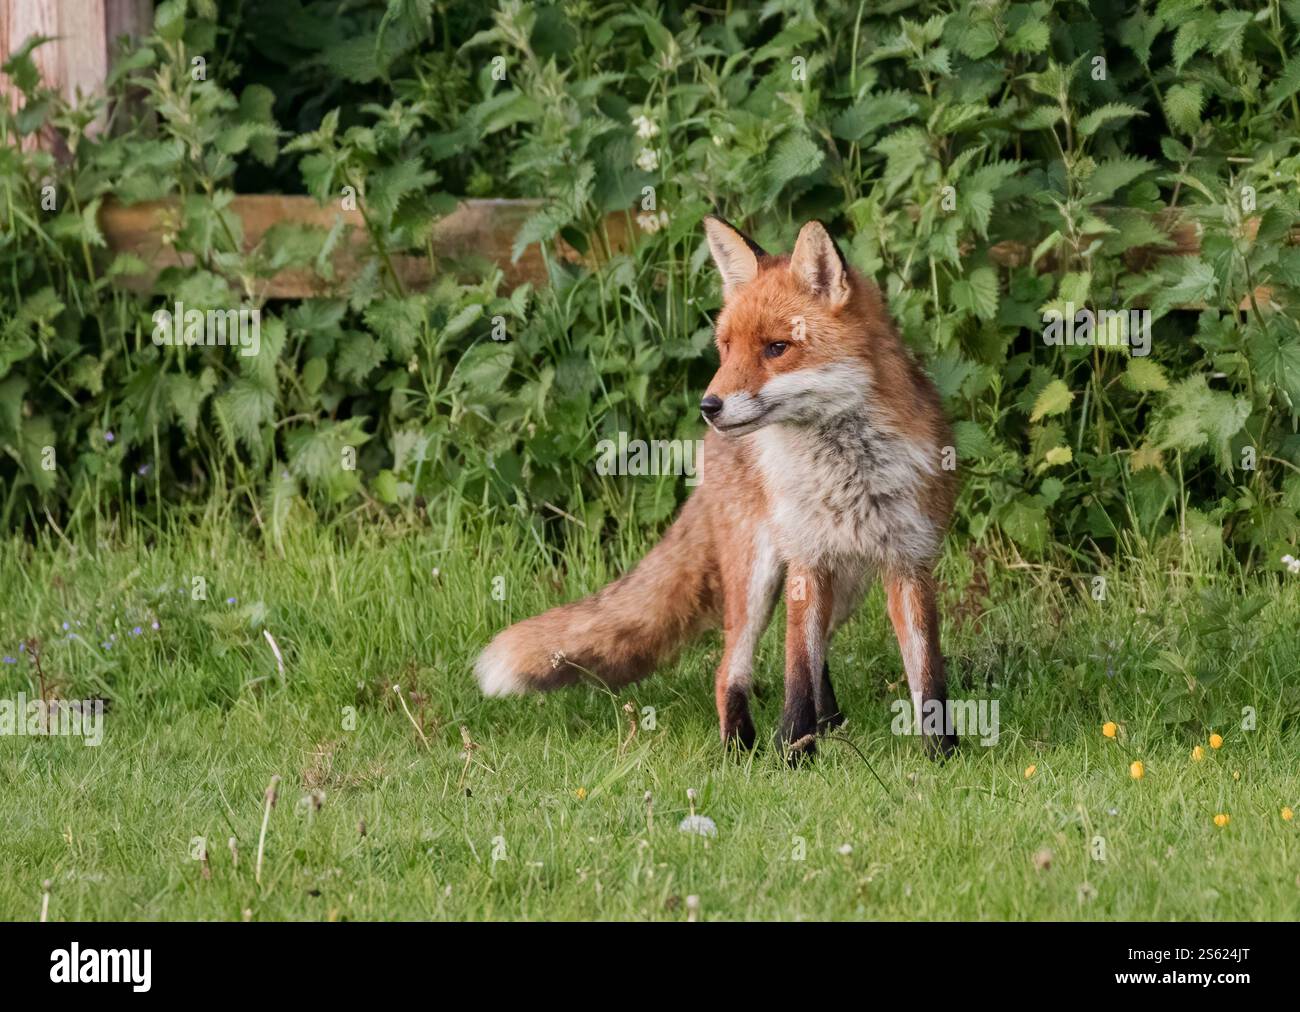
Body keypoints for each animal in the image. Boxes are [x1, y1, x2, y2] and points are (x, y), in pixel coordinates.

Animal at [475, 216, 959, 758]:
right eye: (726, 348)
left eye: (777, 347)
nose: (709, 405)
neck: (846, 471)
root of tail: (707, 446)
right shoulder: (806, 562)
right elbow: (795, 672)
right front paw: (794, 754)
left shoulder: (908, 562)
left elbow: (926, 678)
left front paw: (943, 756)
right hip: (758, 576)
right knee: (730, 668)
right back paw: (740, 748)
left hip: (845, 585)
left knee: (818, 654)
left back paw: (829, 723)